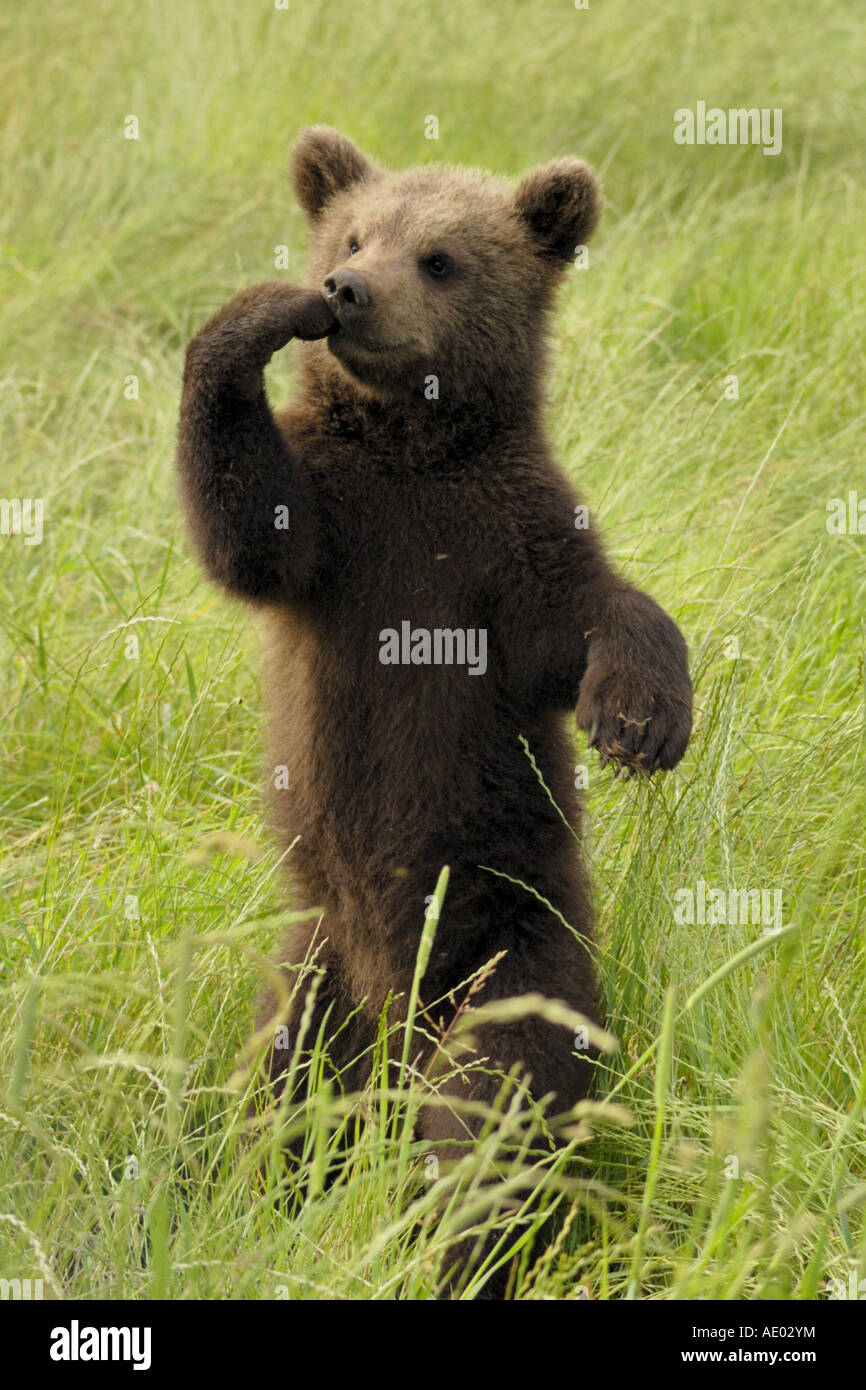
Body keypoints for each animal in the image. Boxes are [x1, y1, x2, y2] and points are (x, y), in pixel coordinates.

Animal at [177, 127, 693, 1296]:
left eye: (444, 258)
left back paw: (455, 1240)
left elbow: (590, 614)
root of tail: (392, 1011)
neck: (414, 451)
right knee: (284, 1093)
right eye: (353, 234)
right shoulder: (337, 531)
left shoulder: (501, 544)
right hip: (313, 964)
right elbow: (247, 525)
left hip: (511, 948)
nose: (347, 291)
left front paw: (640, 719)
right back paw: (275, 1196)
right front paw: (256, 316)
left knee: (489, 1111)